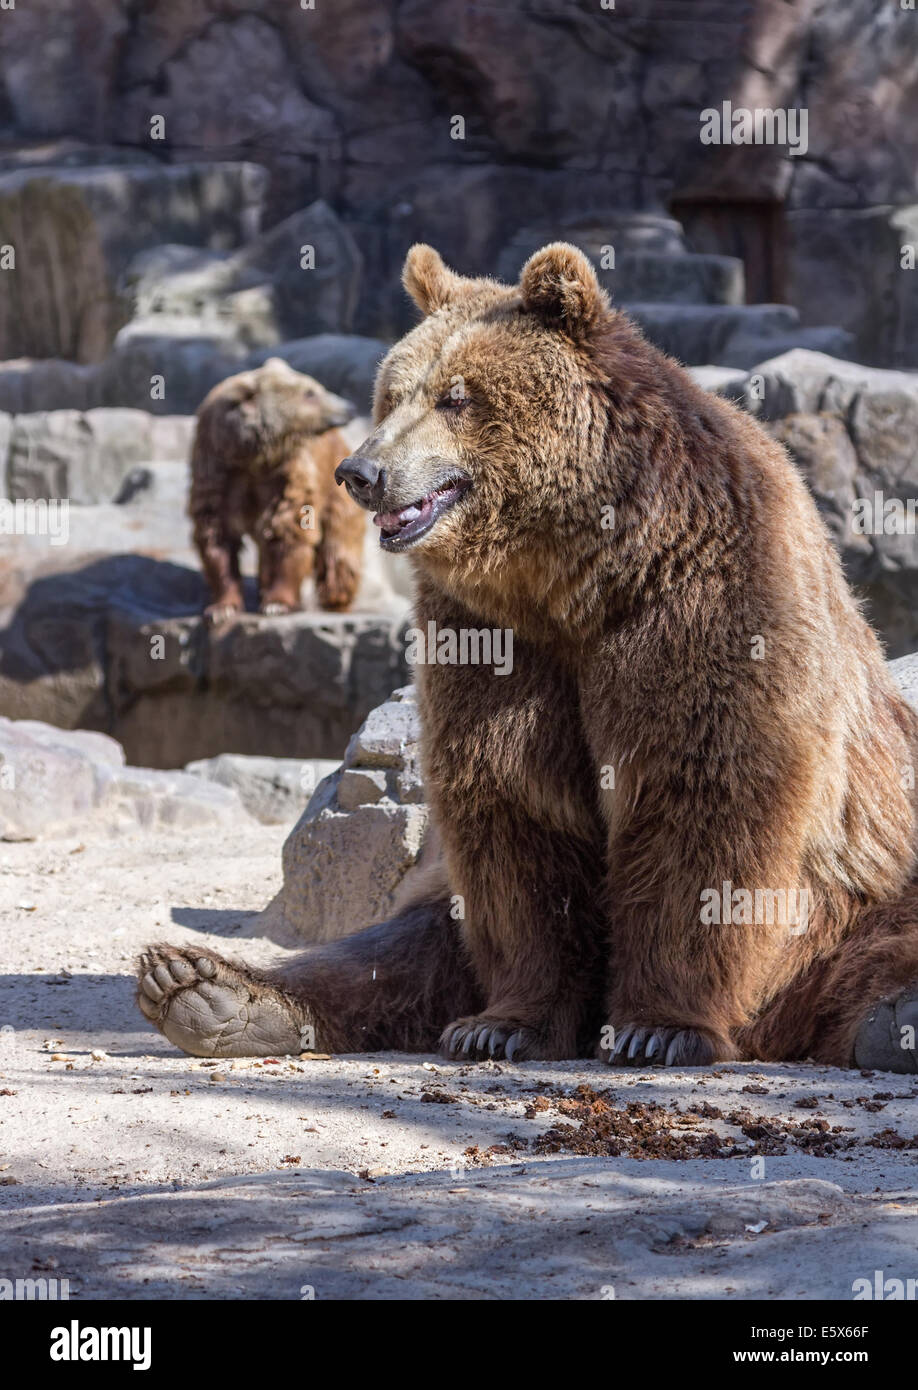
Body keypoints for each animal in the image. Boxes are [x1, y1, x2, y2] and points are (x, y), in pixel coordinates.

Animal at [189, 356, 365, 621]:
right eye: (310, 393)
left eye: (315, 386)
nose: (350, 407)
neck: (252, 456)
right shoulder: (217, 470)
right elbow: (216, 534)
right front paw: (222, 607)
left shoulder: (286, 473)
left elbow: (290, 526)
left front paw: (277, 603)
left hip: (337, 490)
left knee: (338, 549)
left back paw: (335, 600)